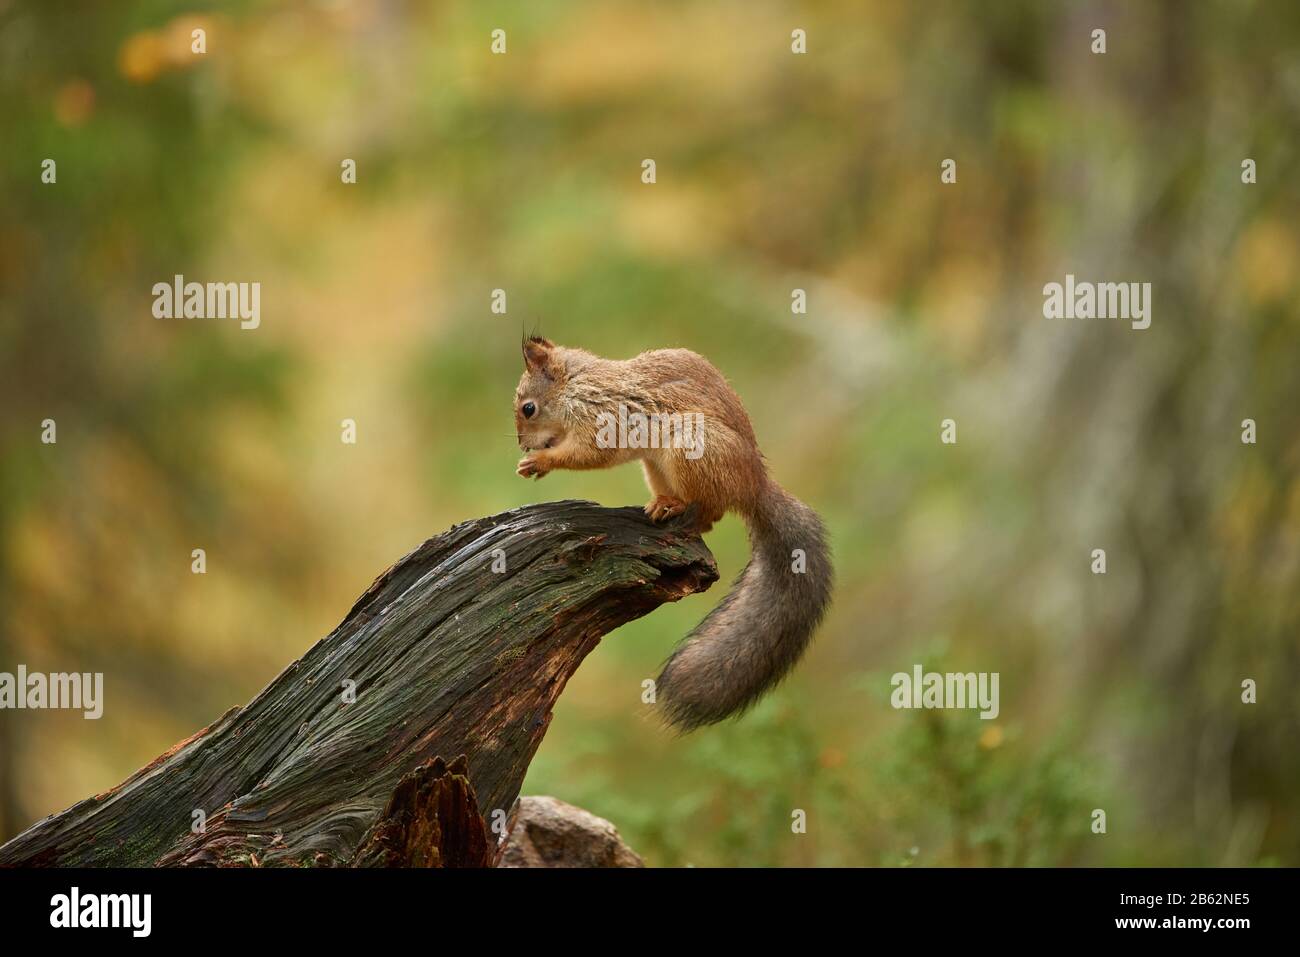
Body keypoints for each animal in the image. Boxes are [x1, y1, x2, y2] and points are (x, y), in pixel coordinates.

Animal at [513, 336, 833, 731]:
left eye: (528, 408)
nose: (523, 445)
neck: (578, 386)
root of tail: (753, 486)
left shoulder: (603, 418)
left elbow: (592, 453)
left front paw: (541, 462)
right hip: (655, 465)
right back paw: (664, 505)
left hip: (693, 446)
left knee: (710, 513)